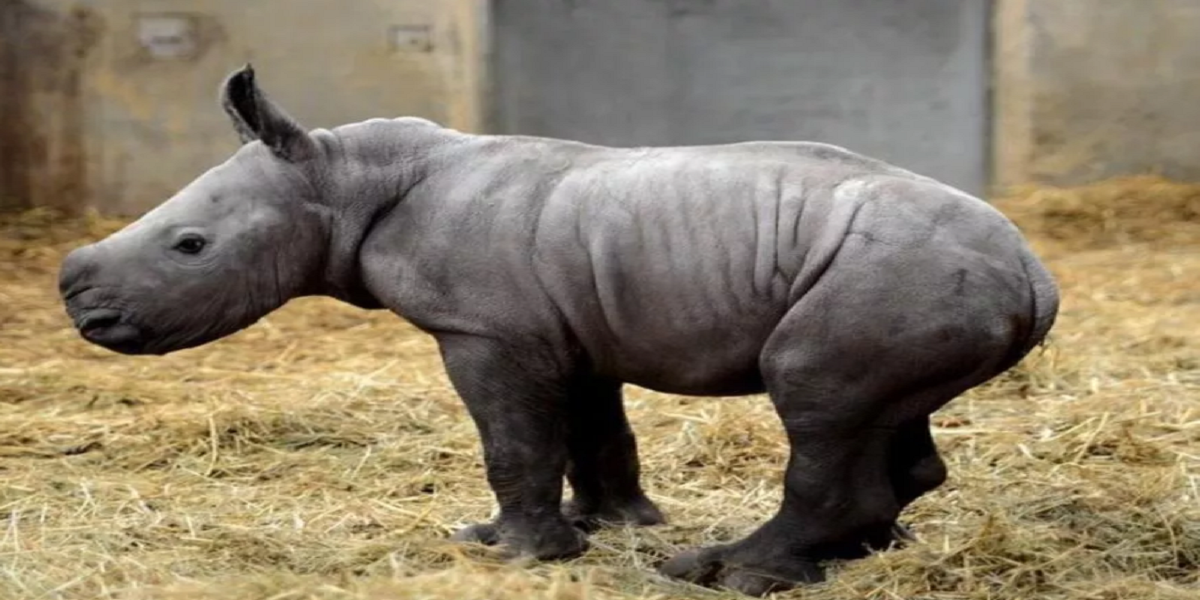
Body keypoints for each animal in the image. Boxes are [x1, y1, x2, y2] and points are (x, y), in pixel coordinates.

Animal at [58, 64, 1059, 596]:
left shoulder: (486, 330)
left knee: (814, 396)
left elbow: (513, 441)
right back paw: (859, 556)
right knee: (881, 413)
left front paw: (506, 551)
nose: (78, 305)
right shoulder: (569, 324)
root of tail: (1036, 272)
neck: (340, 177)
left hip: (898, 274)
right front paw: (608, 526)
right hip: (913, 280)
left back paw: (722, 571)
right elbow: (594, 432)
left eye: (190, 246)